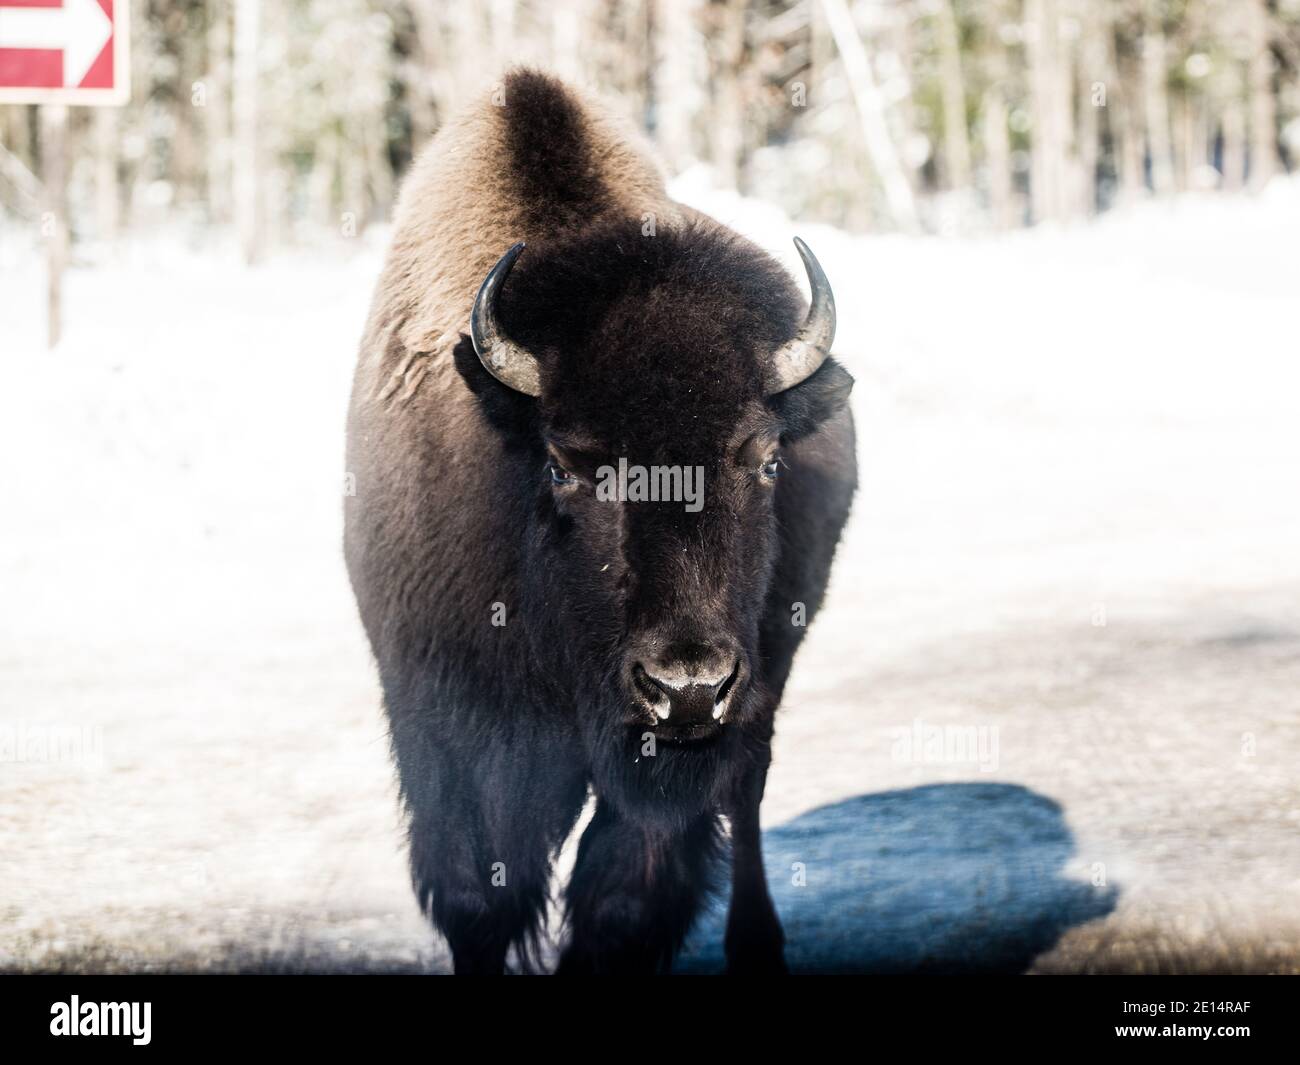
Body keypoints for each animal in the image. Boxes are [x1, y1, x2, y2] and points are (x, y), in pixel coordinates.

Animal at [344, 69, 857, 974]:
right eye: (564, 465)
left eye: (765, 458)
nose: (687, 687)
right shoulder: (442, 724)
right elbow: (478, 895)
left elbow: (622, 898)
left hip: (768, 673)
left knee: (749, 789)